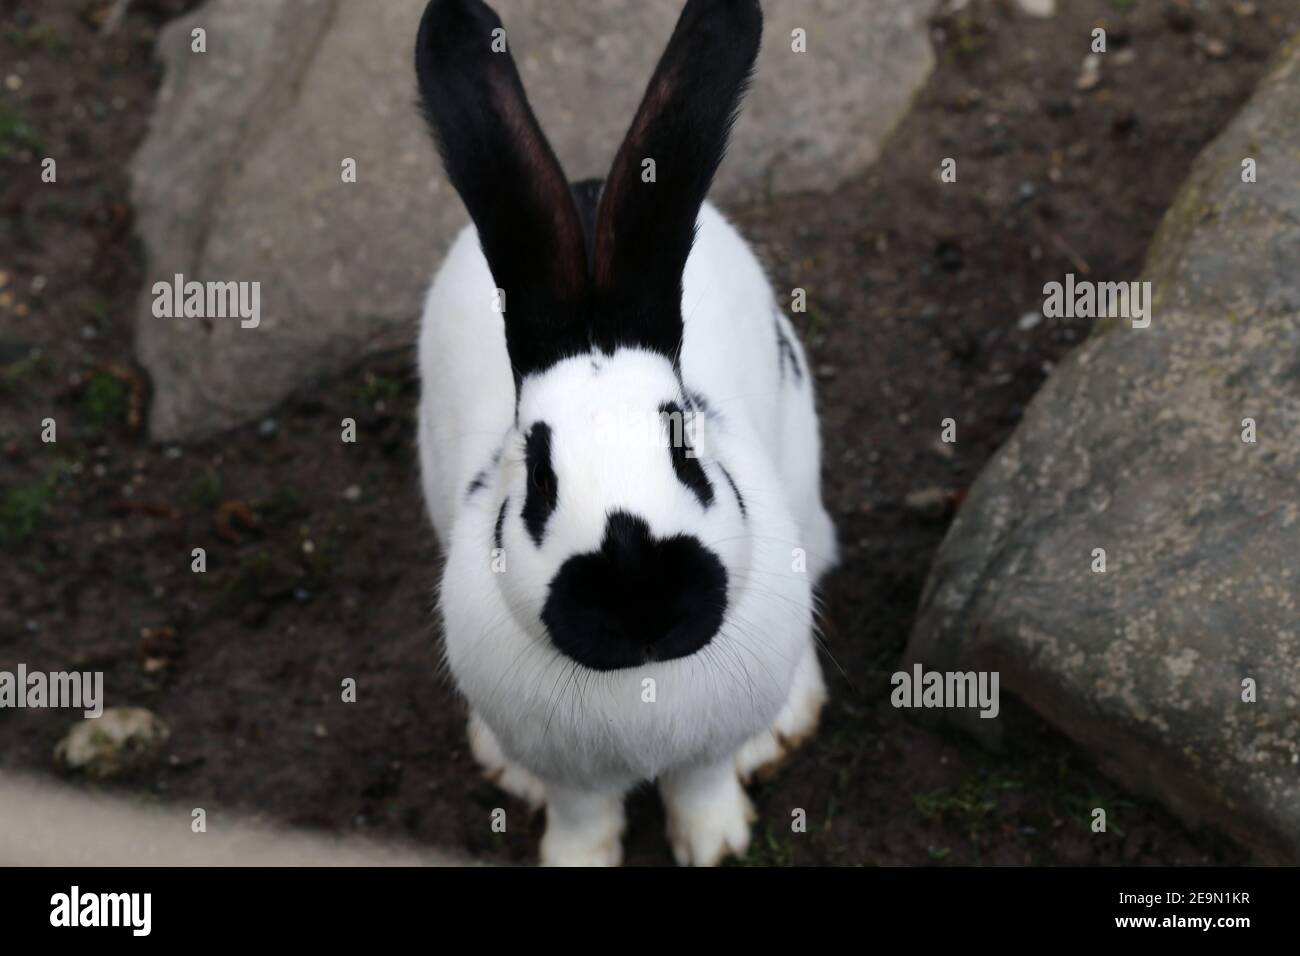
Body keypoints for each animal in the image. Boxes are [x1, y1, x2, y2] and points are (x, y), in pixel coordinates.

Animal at [414, 0, 837, 866]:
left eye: (686, 449)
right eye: (537, 477)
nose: (641, 605)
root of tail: (585, 188)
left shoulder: (706, 744)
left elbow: (702, 782)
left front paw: (715, 847)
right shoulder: (572, 772)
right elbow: (581, 811)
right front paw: (577, 859)